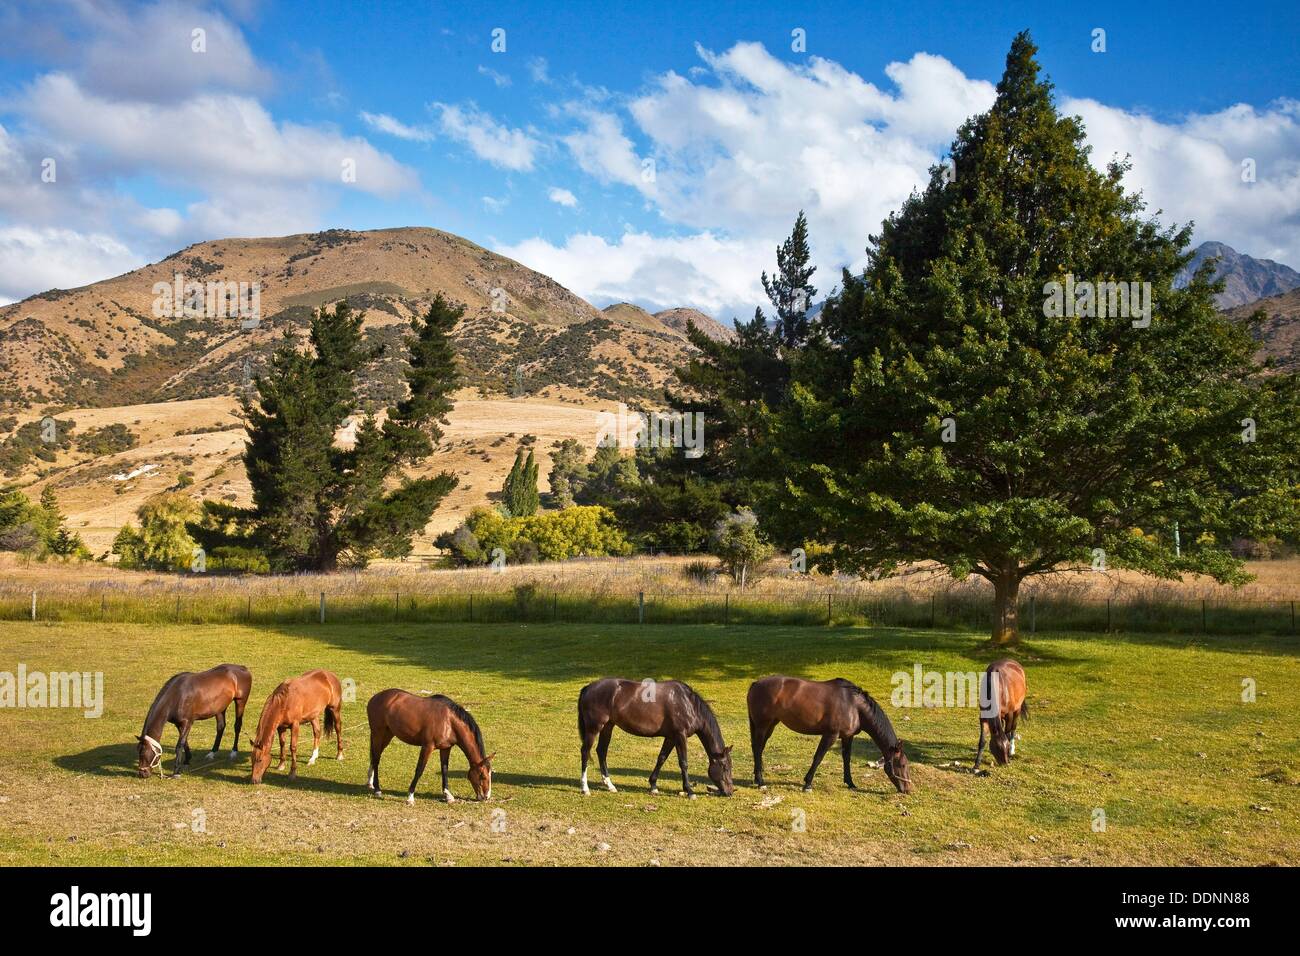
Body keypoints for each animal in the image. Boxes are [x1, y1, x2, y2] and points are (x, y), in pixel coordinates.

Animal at [365, 690, 494, 804]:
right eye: (482, 776)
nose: (486, 796)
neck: (449, 721)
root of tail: (375, 698)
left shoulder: (446, 748)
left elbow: (445, 770)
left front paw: (448, 795)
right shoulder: (427, 747)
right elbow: (419, 769)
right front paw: (410, 797)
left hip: (387, 735)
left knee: (374, 756)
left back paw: (370, 783)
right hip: (379, 734)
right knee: (376, 759)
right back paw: (377, 789)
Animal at [577, 678, 734, 798]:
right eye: (725, 767)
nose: (730, 792)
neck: (688, 704)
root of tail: (588, 687)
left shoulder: (671, 738)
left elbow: (661, 758)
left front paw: (653, 785)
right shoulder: (680, 736)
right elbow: (683, 763)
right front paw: (689, 791)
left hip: (608, 727)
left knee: (601, 751)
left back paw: (610, 785)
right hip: (594, 728)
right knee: (585, 752)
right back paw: (585, 788)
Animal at [746, 675, 912, 793]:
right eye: (902, 764)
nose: (908, 790)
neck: (853, 705)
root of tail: (756, 683)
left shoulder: (847, 736)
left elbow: (846, 758)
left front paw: (850, 783)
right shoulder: (831, 735)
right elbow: (818, 757)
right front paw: (808, 784)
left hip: (770, 725)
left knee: (758, 748)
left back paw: (757, 776)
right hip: (763, 725)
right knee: (757, 748)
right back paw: (760, 782)